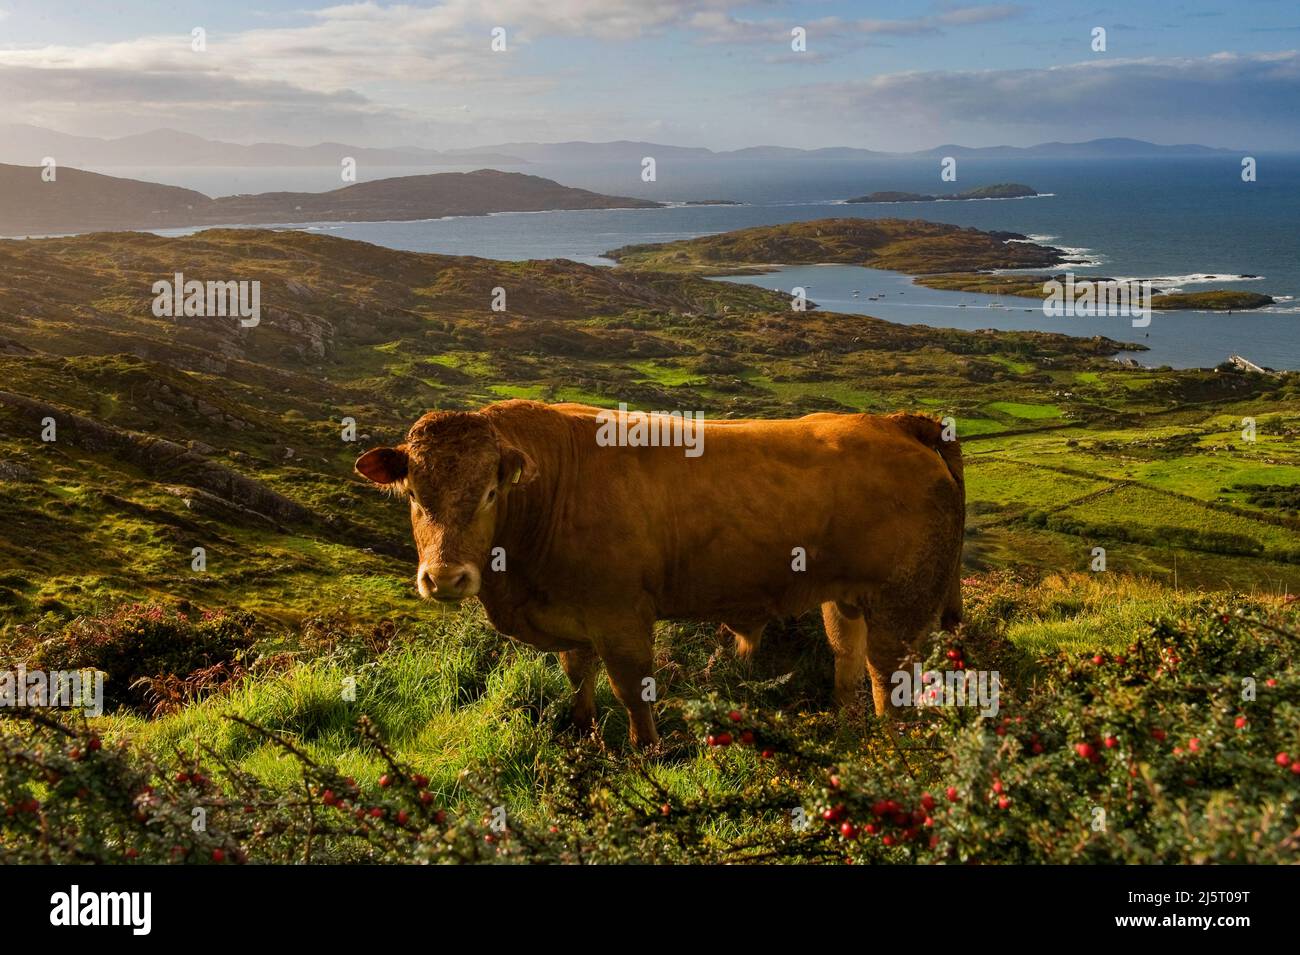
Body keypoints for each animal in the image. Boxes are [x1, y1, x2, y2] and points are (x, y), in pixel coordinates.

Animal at [355, 399, 964, 747]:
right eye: (414, 494)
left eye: (487, 493)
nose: (445, 579)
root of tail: (896, 425)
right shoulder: (572, 616)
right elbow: (577, 675)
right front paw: (586, 737)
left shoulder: (620, 615)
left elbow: (631, 691)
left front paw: (644, 754)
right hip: (846, 596)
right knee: (847, 656)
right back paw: (846, 729)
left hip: (902, 603)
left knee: (888, 677)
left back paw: (888, 750)